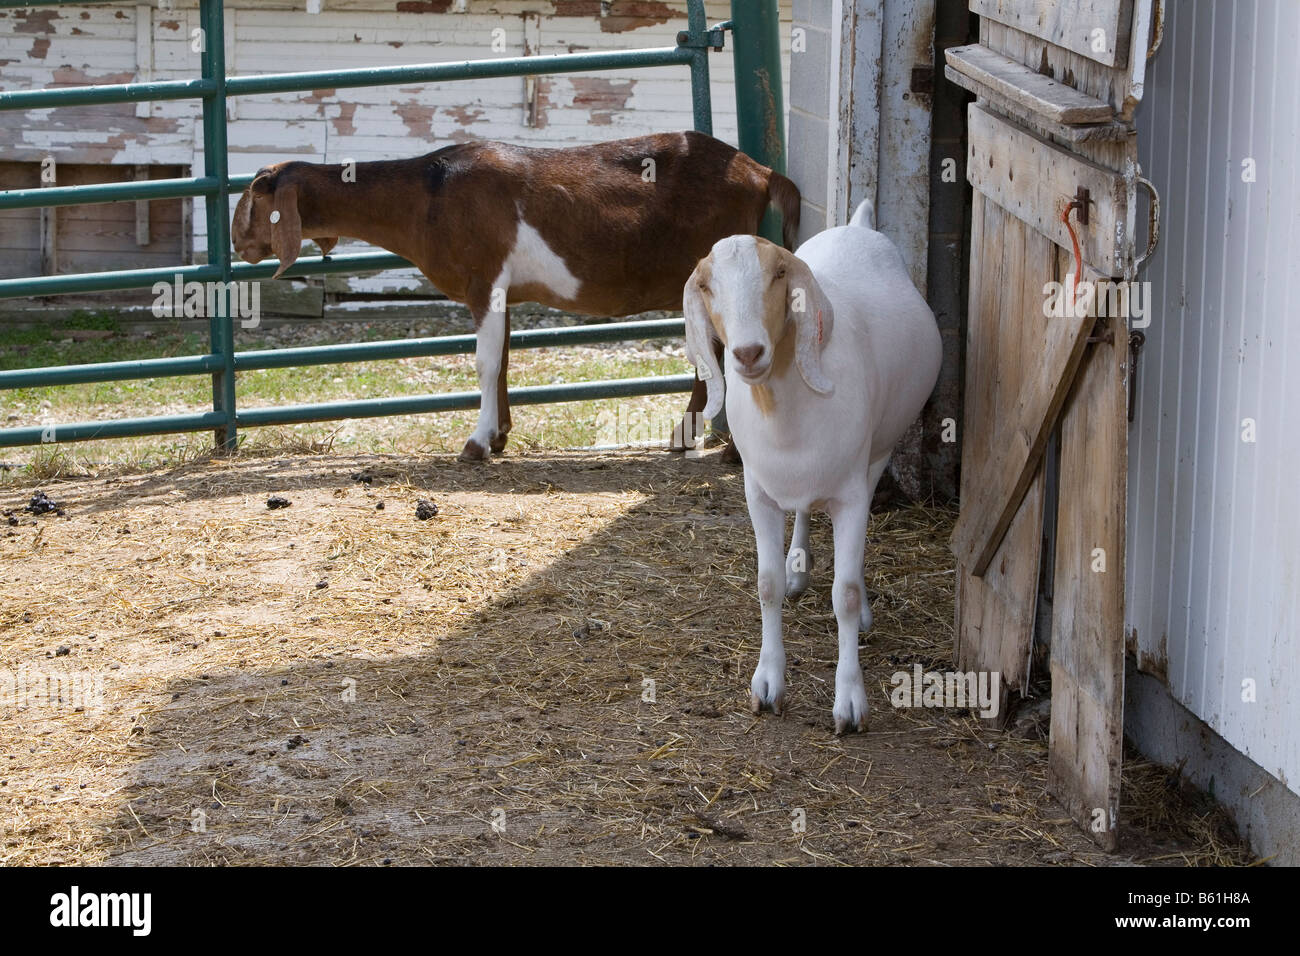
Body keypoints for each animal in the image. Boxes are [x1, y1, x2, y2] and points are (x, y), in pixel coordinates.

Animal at [231, 131, 800, 461]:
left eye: (256, 195)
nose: (237, 243)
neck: (427, 196)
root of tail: (760, 171)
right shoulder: (500, 290)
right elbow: (502, 359)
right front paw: (500, 436)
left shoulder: (483, 280)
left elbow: (484, 363)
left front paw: (476, 444)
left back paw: (721, 449)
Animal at [682, 201, 942, 734]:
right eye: (706, 285)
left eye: (778, 274)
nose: (748, 353)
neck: (784, 409)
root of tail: (858, 225)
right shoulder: (758, 492)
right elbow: (766, 585)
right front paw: (767, 683)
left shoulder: (850, 495)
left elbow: (844, 594)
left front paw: (850, 700)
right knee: (801, 512)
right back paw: (798, 568)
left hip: (879, 451)